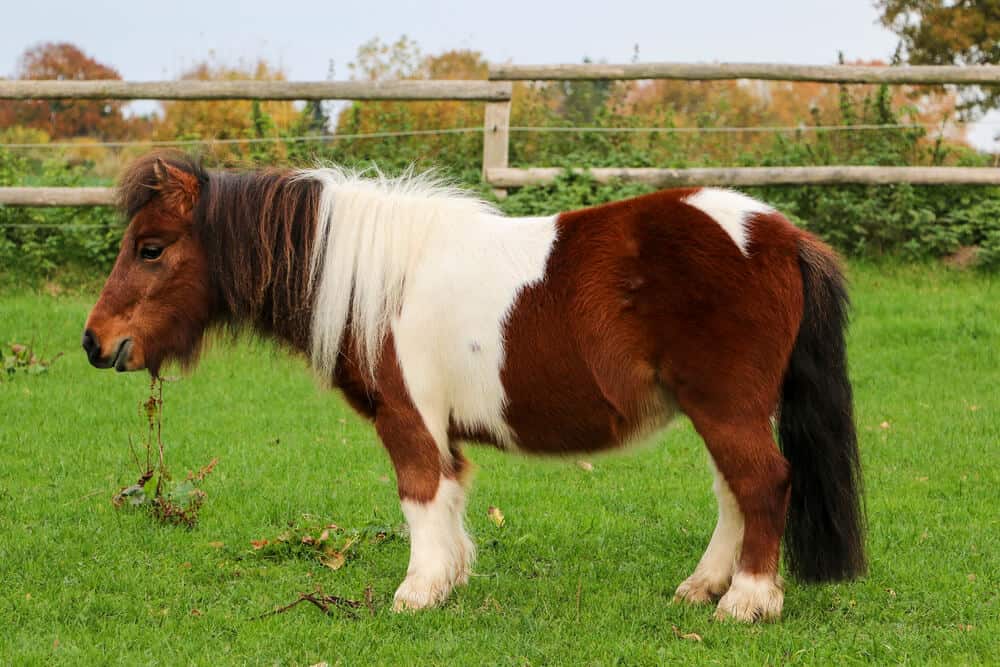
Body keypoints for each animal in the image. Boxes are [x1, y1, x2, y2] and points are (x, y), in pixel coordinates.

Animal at [82, 152, 865, 621]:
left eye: (150, 248)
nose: (95, 342)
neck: (376, 280)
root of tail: (780, 234)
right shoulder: (437, 424)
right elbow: (451, 492)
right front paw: (450, 577)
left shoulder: (407, 415)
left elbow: (421, 493)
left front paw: (416, 591)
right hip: (719, 409)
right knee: (736, 491)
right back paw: (705, 587)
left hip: (726, 406)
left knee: (762, 483)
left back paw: (748, 601)